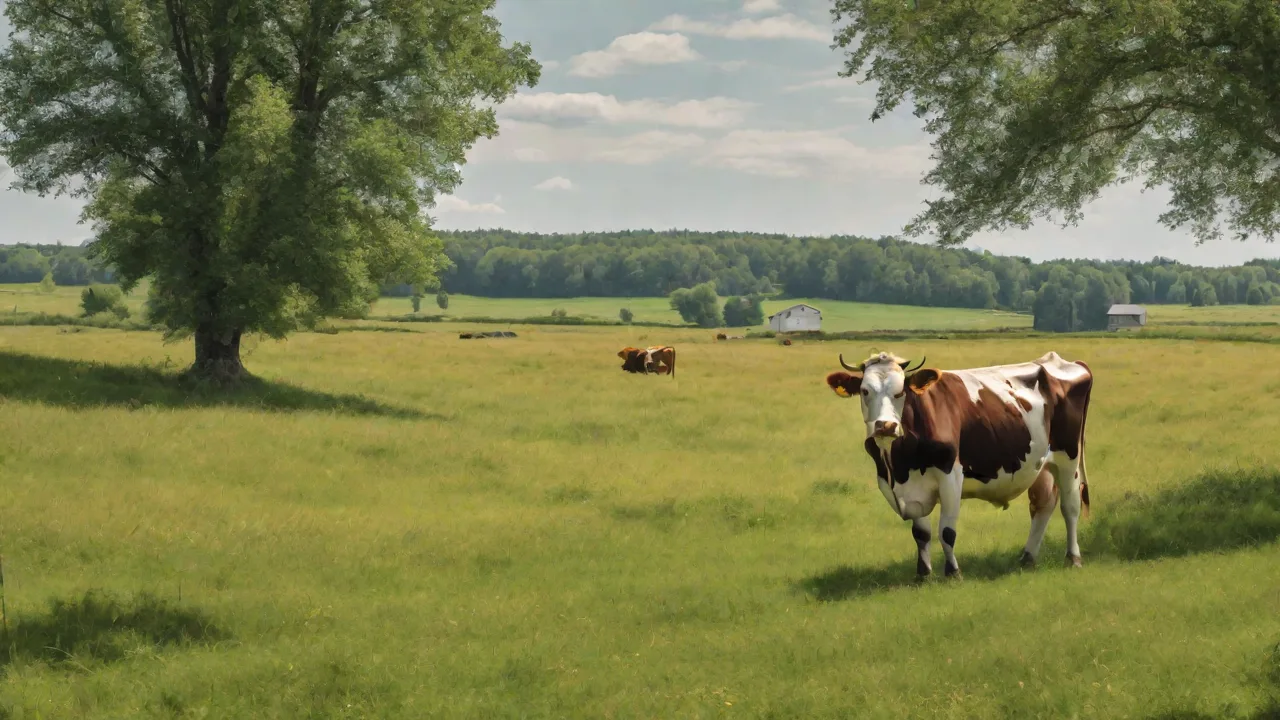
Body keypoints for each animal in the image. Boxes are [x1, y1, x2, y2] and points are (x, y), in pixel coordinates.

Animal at [824, 350, 1092, 580]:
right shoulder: (904, 486)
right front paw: (923, 574)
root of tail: (1065, 361)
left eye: (900, 392)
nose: (885, 426)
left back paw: (1073, 558)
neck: (899, 466)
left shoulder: (951, 475)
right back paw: (1027, 558)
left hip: (1069, 457)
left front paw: (953, 573)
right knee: (1043, 505)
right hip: (1041, 465)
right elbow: (921, 533)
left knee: (1070, 506)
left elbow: (947, 531)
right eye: (864, 391)